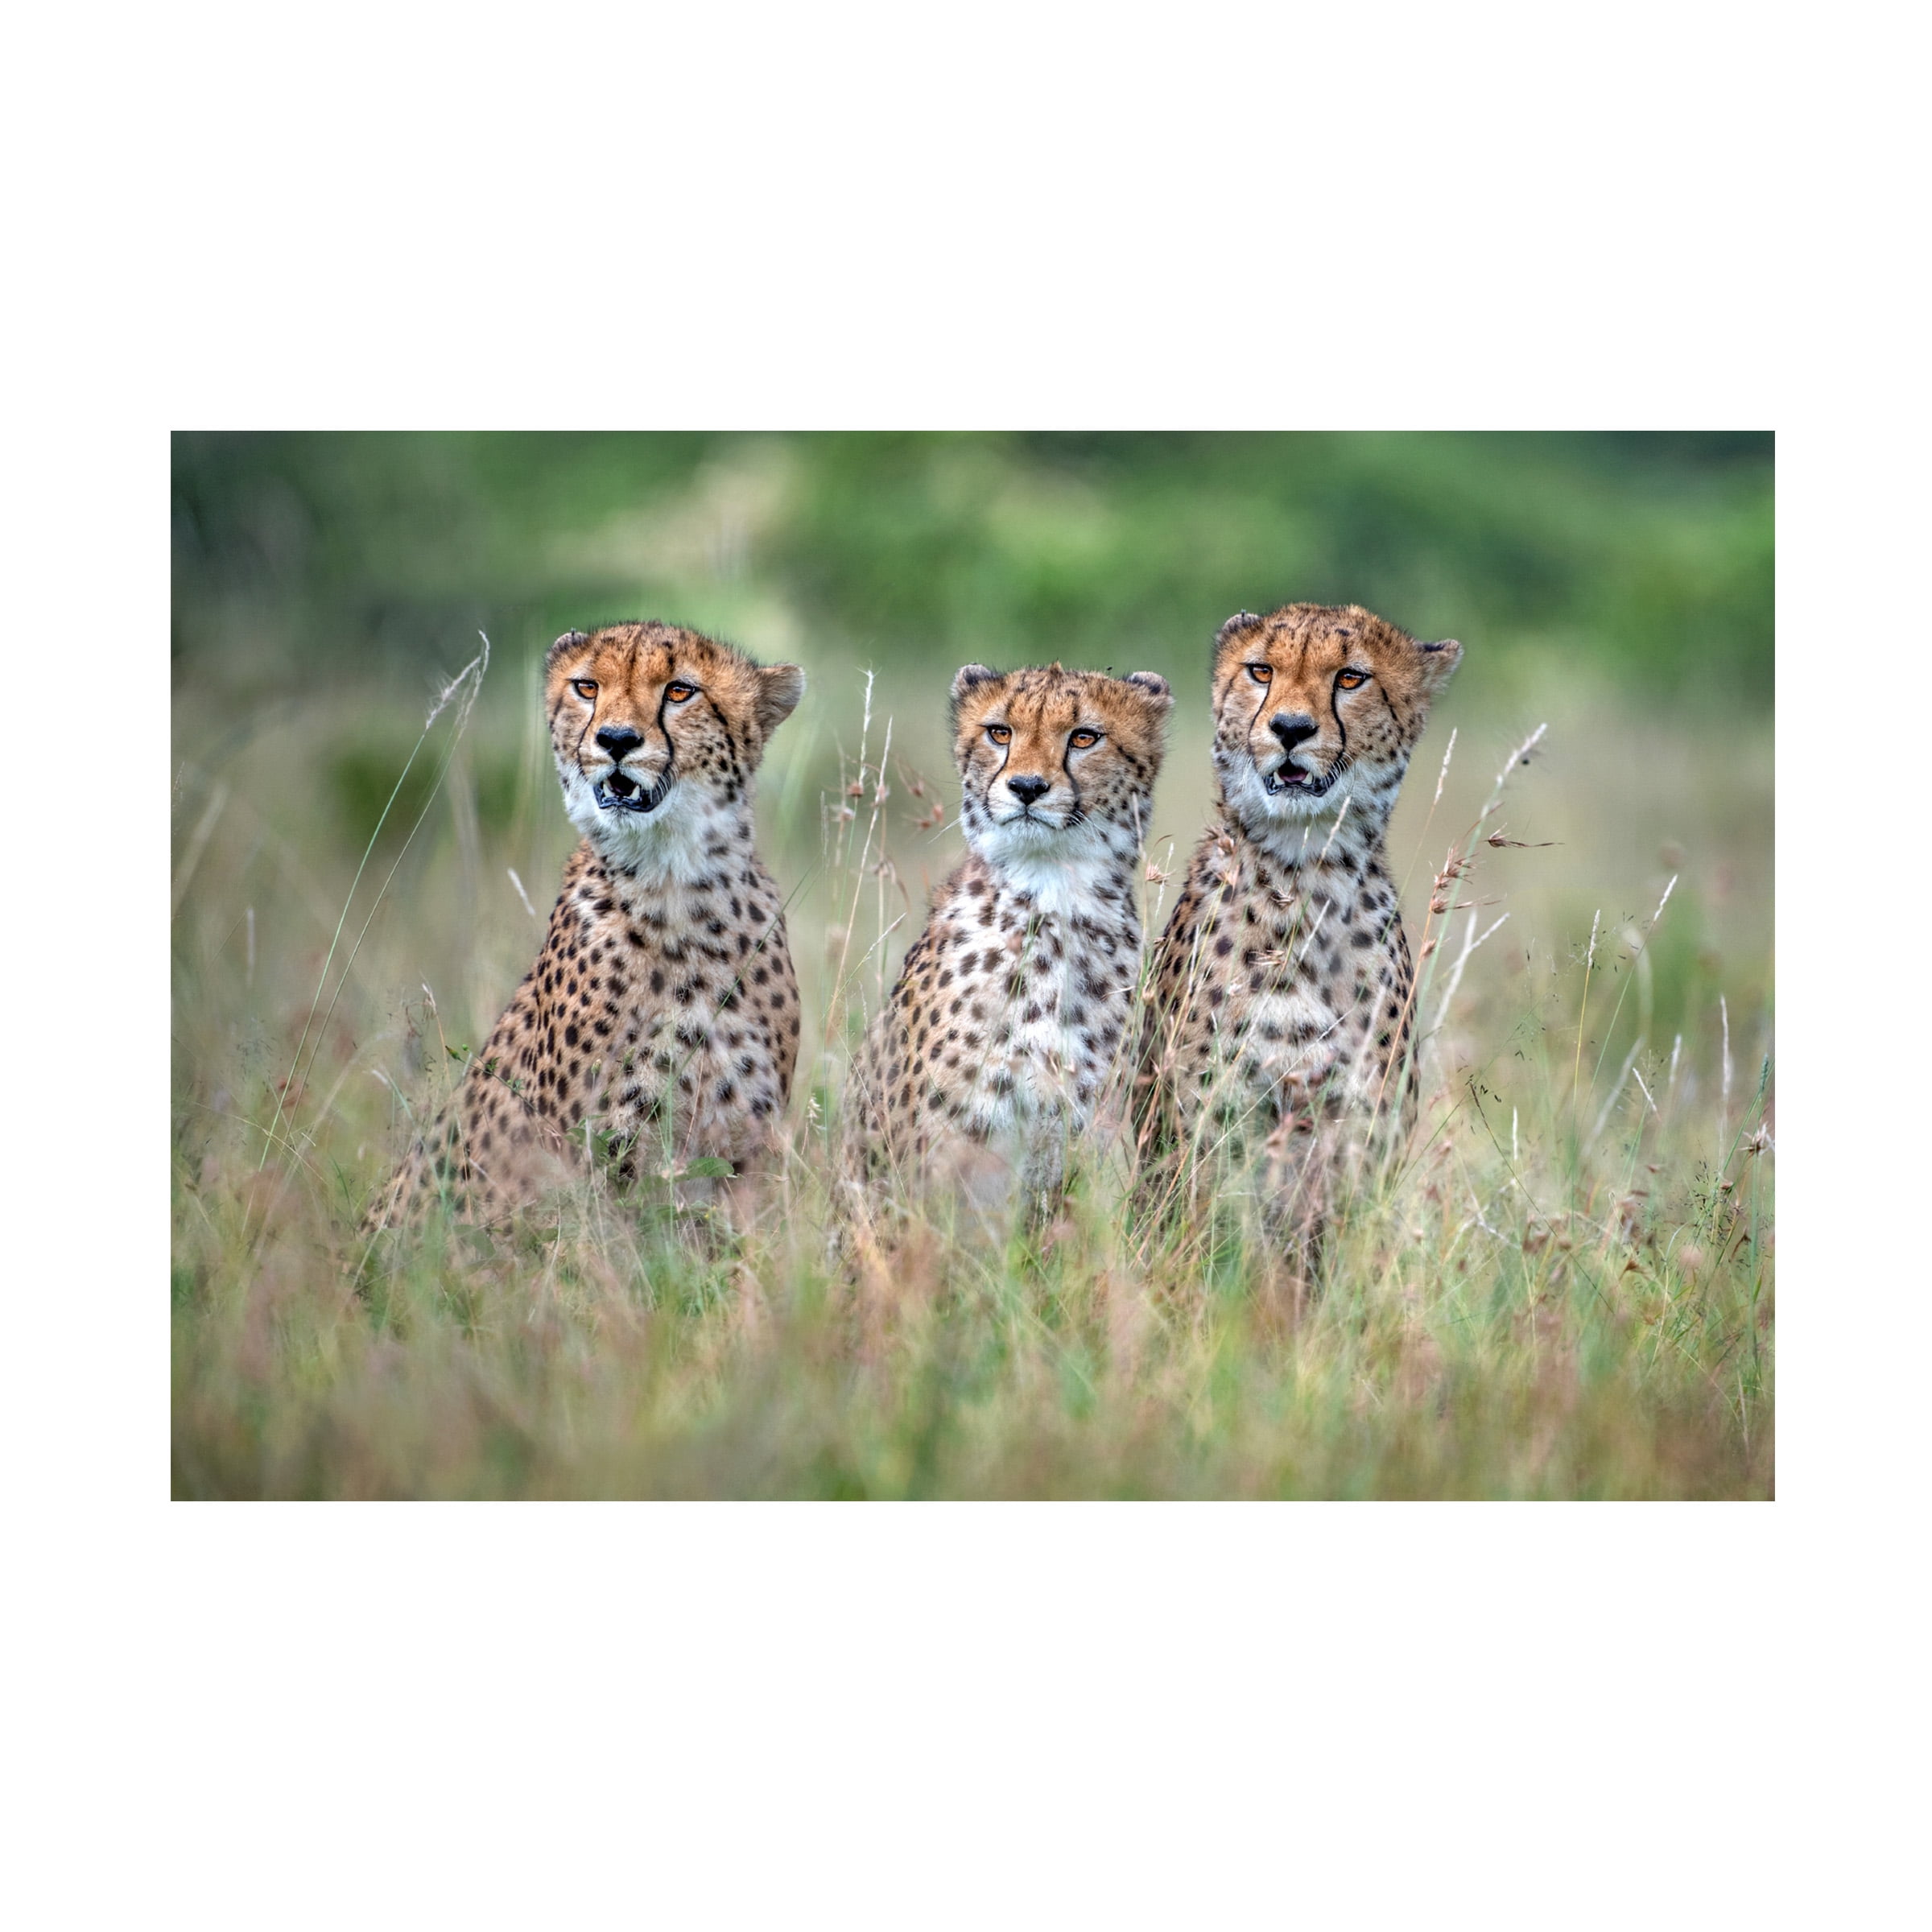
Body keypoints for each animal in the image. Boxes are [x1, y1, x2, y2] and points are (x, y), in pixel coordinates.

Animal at [365, 620, 806, 1236]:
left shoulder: (746, 1154)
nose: (616, 740)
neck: (675, 883)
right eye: (588, 687)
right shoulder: (593, 1157)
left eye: (680, 691)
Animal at [1133, 602, 1462, 1283]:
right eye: (1261, 671)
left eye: (1350, 678)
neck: (1304, 871)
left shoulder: (1359, 1134)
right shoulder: (1213, 1132)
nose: (1289, 727)